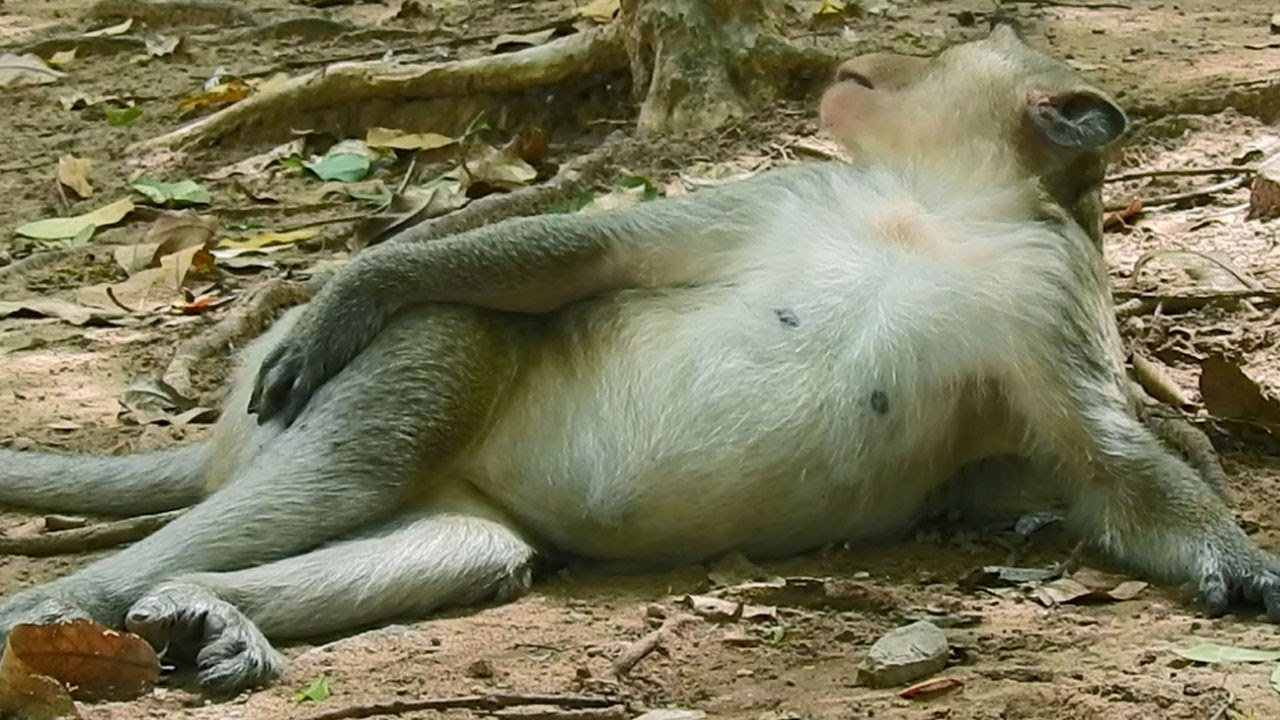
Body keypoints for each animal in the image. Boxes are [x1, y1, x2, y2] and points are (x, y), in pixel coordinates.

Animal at [1, 26, 1277, 698]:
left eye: (928, 58)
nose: (870, 62)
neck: (938, 207)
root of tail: (217, 429)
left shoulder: (1042, 288)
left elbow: (1103, 458)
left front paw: (1229, 556)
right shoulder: (794, 189)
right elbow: (587, 253)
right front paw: (350, 294)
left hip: (456, 492)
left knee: (459, 540)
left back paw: (202, 609)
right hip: (353, 395)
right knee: (415, 379)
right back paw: (62, 603)